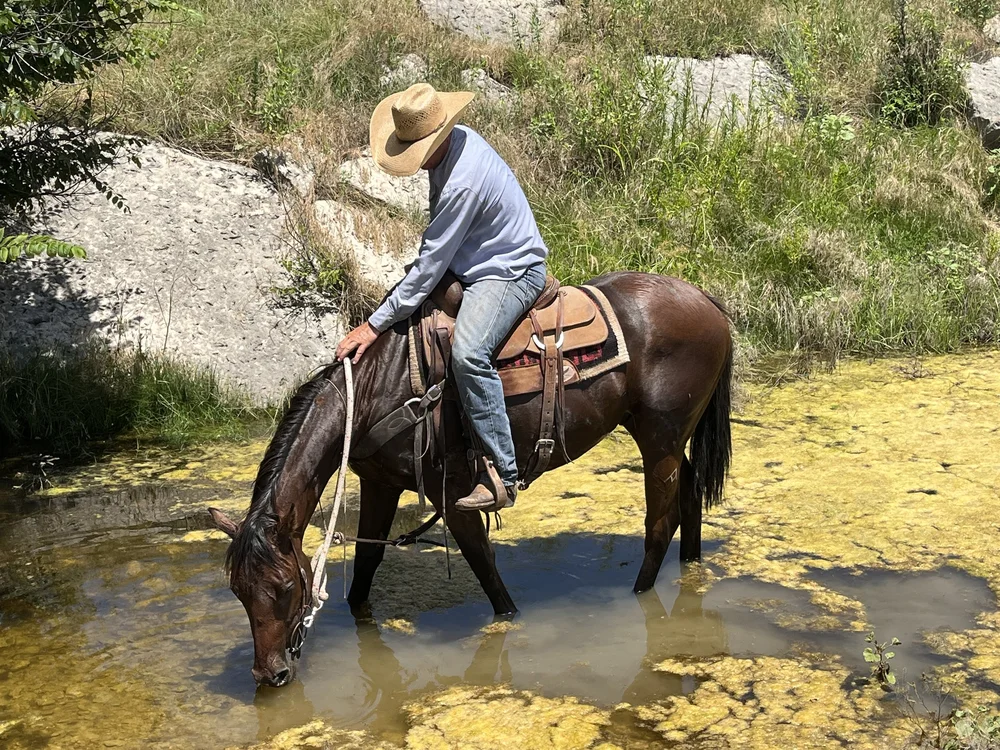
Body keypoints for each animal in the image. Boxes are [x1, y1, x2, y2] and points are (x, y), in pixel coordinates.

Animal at [208, 271, 733, 687]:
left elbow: (486, 571)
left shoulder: (456, 494)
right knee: (689, 496)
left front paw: (510, 622)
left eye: (284, 587)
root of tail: (707, 301)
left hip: (660, 437)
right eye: (237, 590)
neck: (387, 385)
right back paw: (690, 570)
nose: (269, 674)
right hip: (668, 438)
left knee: (659, 523)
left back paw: (638, 596)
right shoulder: (380, 485)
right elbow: (366, 567)